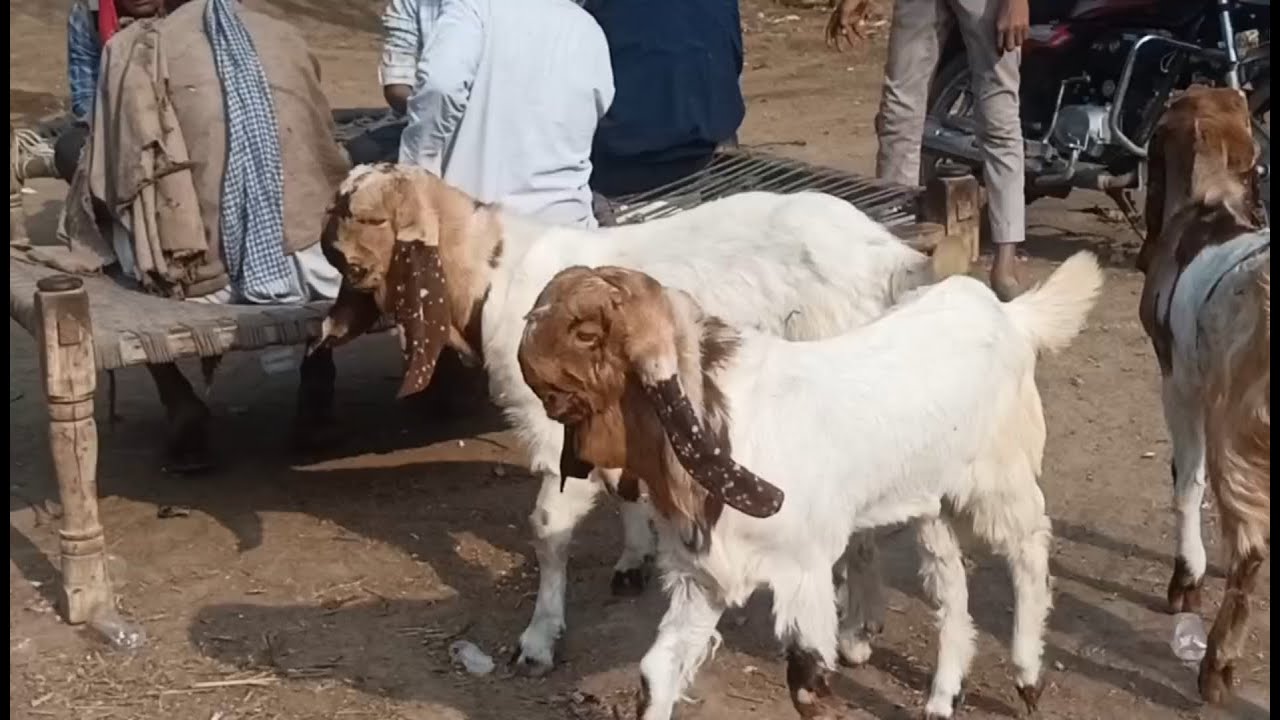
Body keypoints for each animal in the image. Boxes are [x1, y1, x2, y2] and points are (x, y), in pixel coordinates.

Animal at [314, 163, 942, 674]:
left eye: (368, 215)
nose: (331, 252)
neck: (495, 272)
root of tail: (889, 257)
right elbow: (624, 488)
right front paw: (634, 560)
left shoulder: (555, 427)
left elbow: (548, 529)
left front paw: (539, 639)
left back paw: (855, 632)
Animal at [518, 253, 1102, 719]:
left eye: (586, 336)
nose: (533, 372)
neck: (724, 423)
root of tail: (1006, 314)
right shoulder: (702, 579)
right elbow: (656, 672)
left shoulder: (803, 572)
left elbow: (807, 683)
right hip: (929, 501)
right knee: (951, 585)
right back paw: (943, 697)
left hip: (1002, 475)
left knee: (1029, 550)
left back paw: (1027, 676)